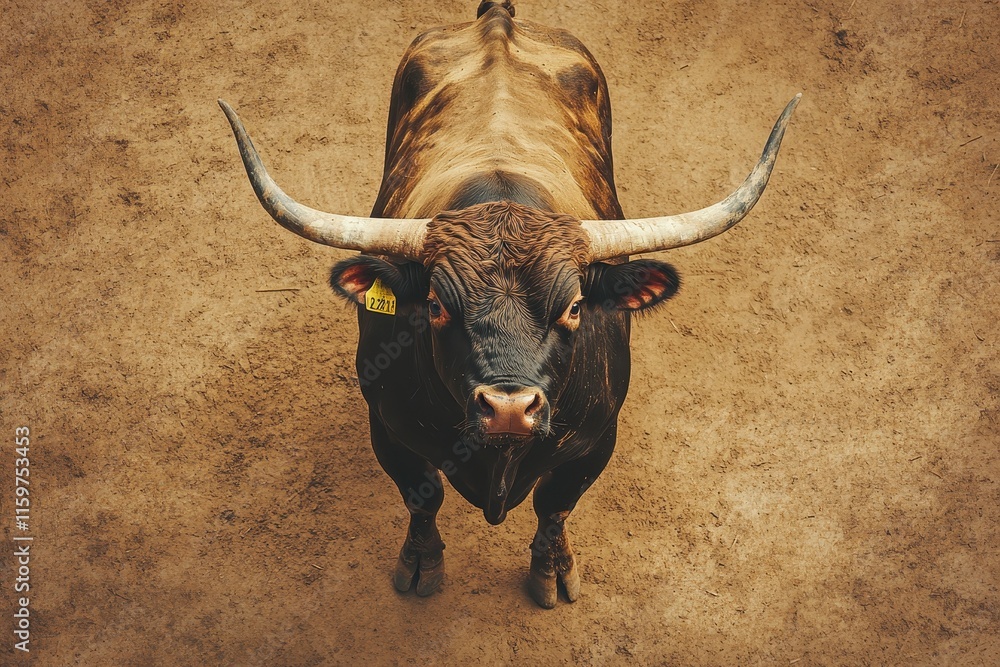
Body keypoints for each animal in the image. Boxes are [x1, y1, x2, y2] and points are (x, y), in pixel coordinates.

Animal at [220, 0, 799, 608]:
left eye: (574, 307)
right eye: (434, 304)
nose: (507, 408)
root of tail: (497, 17)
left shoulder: (595, 443)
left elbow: (554, 506)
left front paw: (551, 570)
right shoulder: (390, 430)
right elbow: (423, 498)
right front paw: (421, 564)